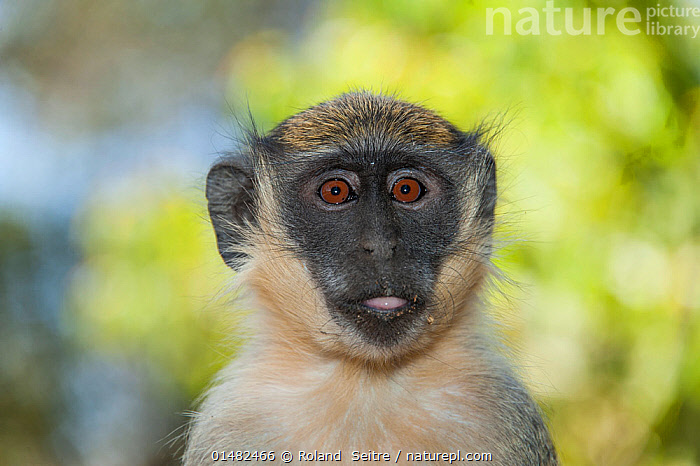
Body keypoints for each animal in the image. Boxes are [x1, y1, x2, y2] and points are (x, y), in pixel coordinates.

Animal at [184, 92, 557, 465]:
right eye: (335, 191)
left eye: (406, 189)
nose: (381, 245)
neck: (367, 381)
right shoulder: (230, 423)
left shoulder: (501, 409)